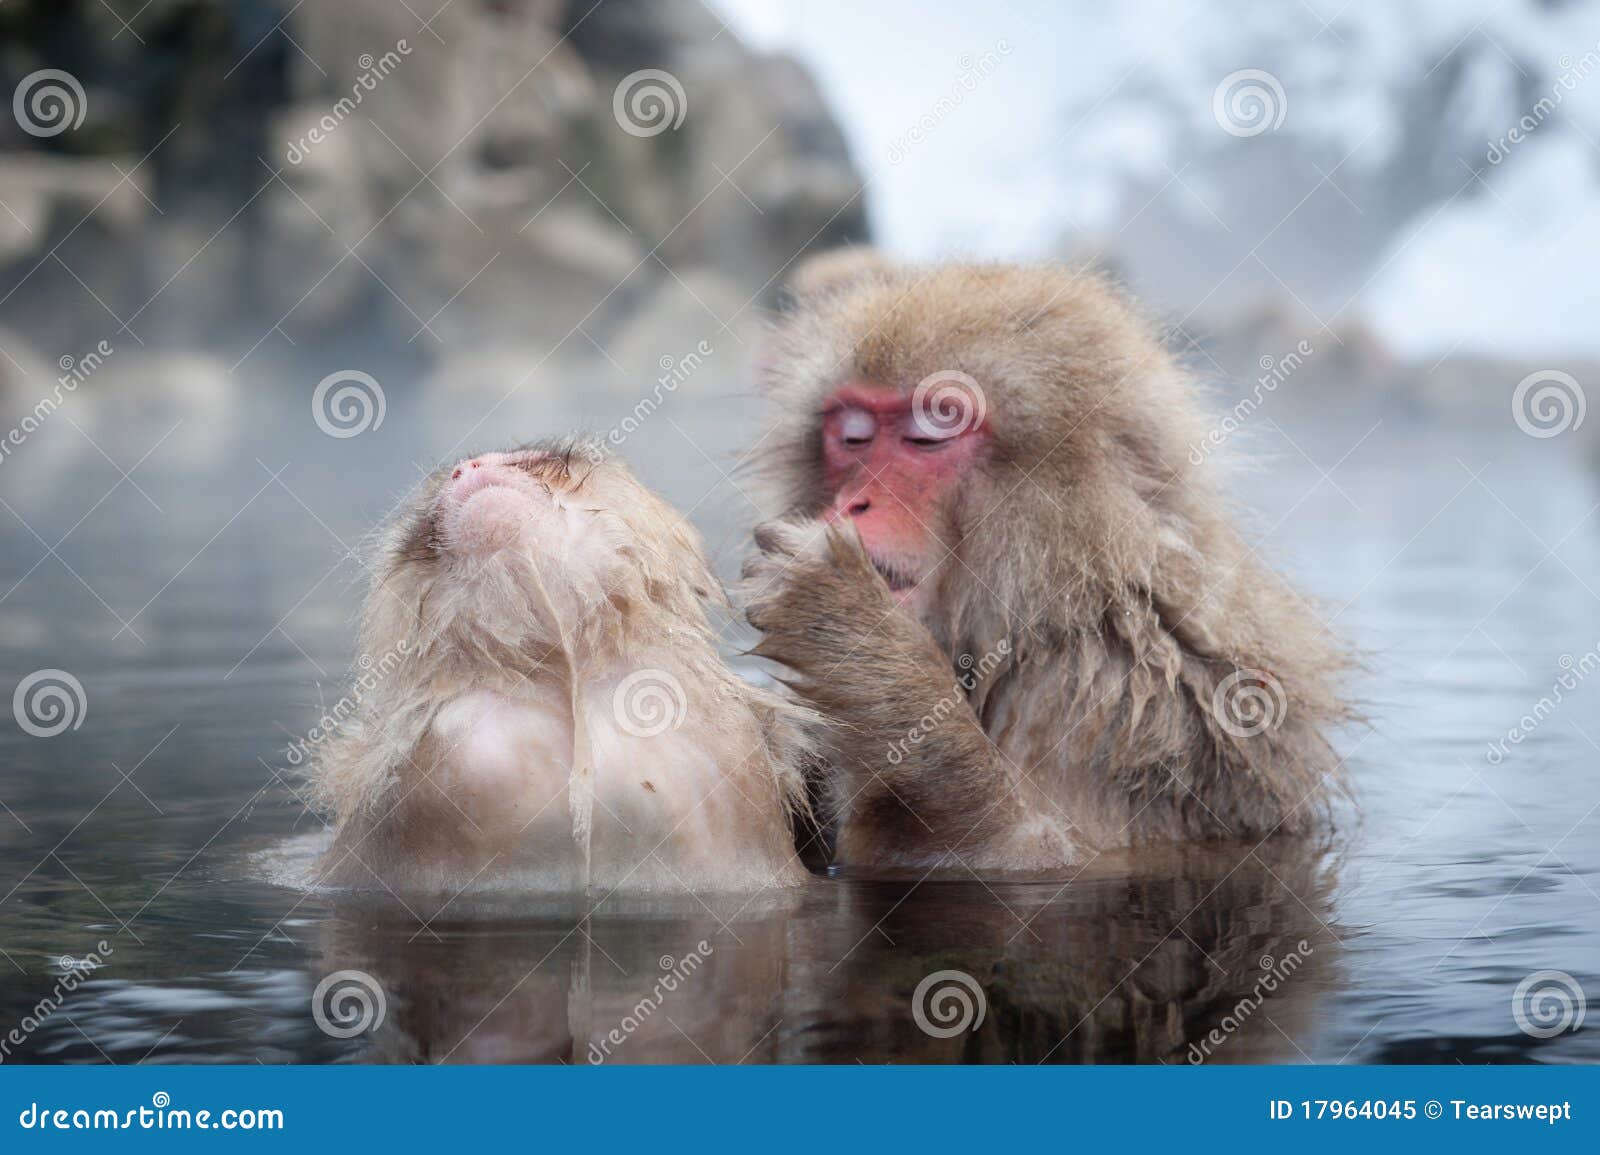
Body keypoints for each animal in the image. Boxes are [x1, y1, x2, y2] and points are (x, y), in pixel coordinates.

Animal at [308, 440, 811, 894]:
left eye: (533, 462)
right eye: (428, 528)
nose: (469, 467)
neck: (570, 680)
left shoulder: (725, 748)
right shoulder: (461, 748)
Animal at [741, 252, 1351, 875]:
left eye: (929, 435)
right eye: (853, 437)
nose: (853, 504)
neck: (1057, 606)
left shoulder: (1116, 707)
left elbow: (1029, 856)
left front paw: (859, 640)